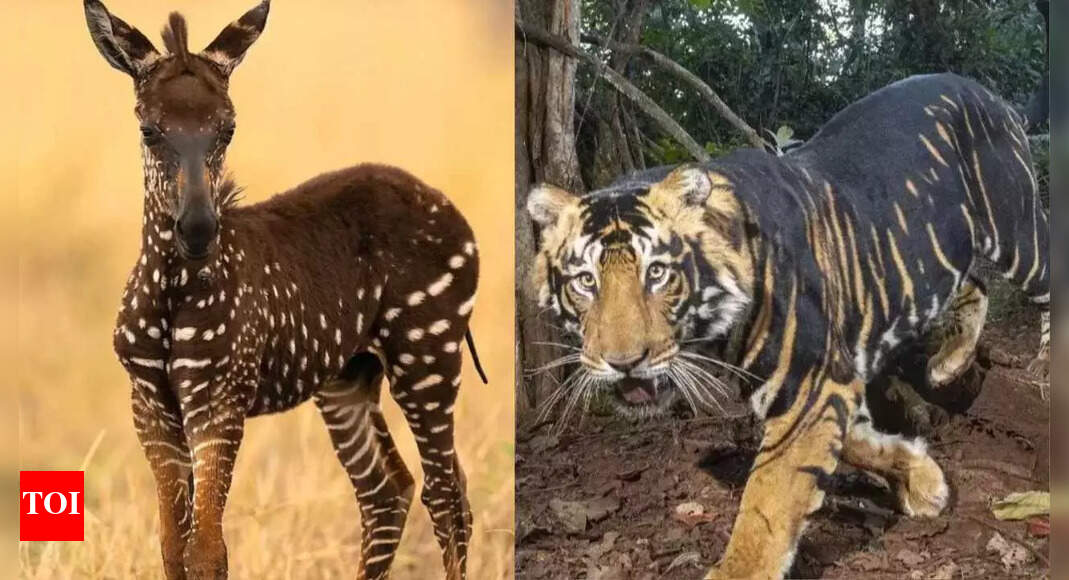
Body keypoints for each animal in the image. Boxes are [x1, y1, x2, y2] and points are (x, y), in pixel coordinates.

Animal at [525, 73, 1049, 579]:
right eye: (586, 281)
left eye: (657, 273)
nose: (624, 362)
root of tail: (990, 94)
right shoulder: (826, 383)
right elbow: (857, 442)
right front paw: (923, 479)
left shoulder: (810, 386)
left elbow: (767, 504)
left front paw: (738, 569)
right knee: (975, 281)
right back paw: (948, 362)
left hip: (1019, 231)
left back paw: (1043, 365)